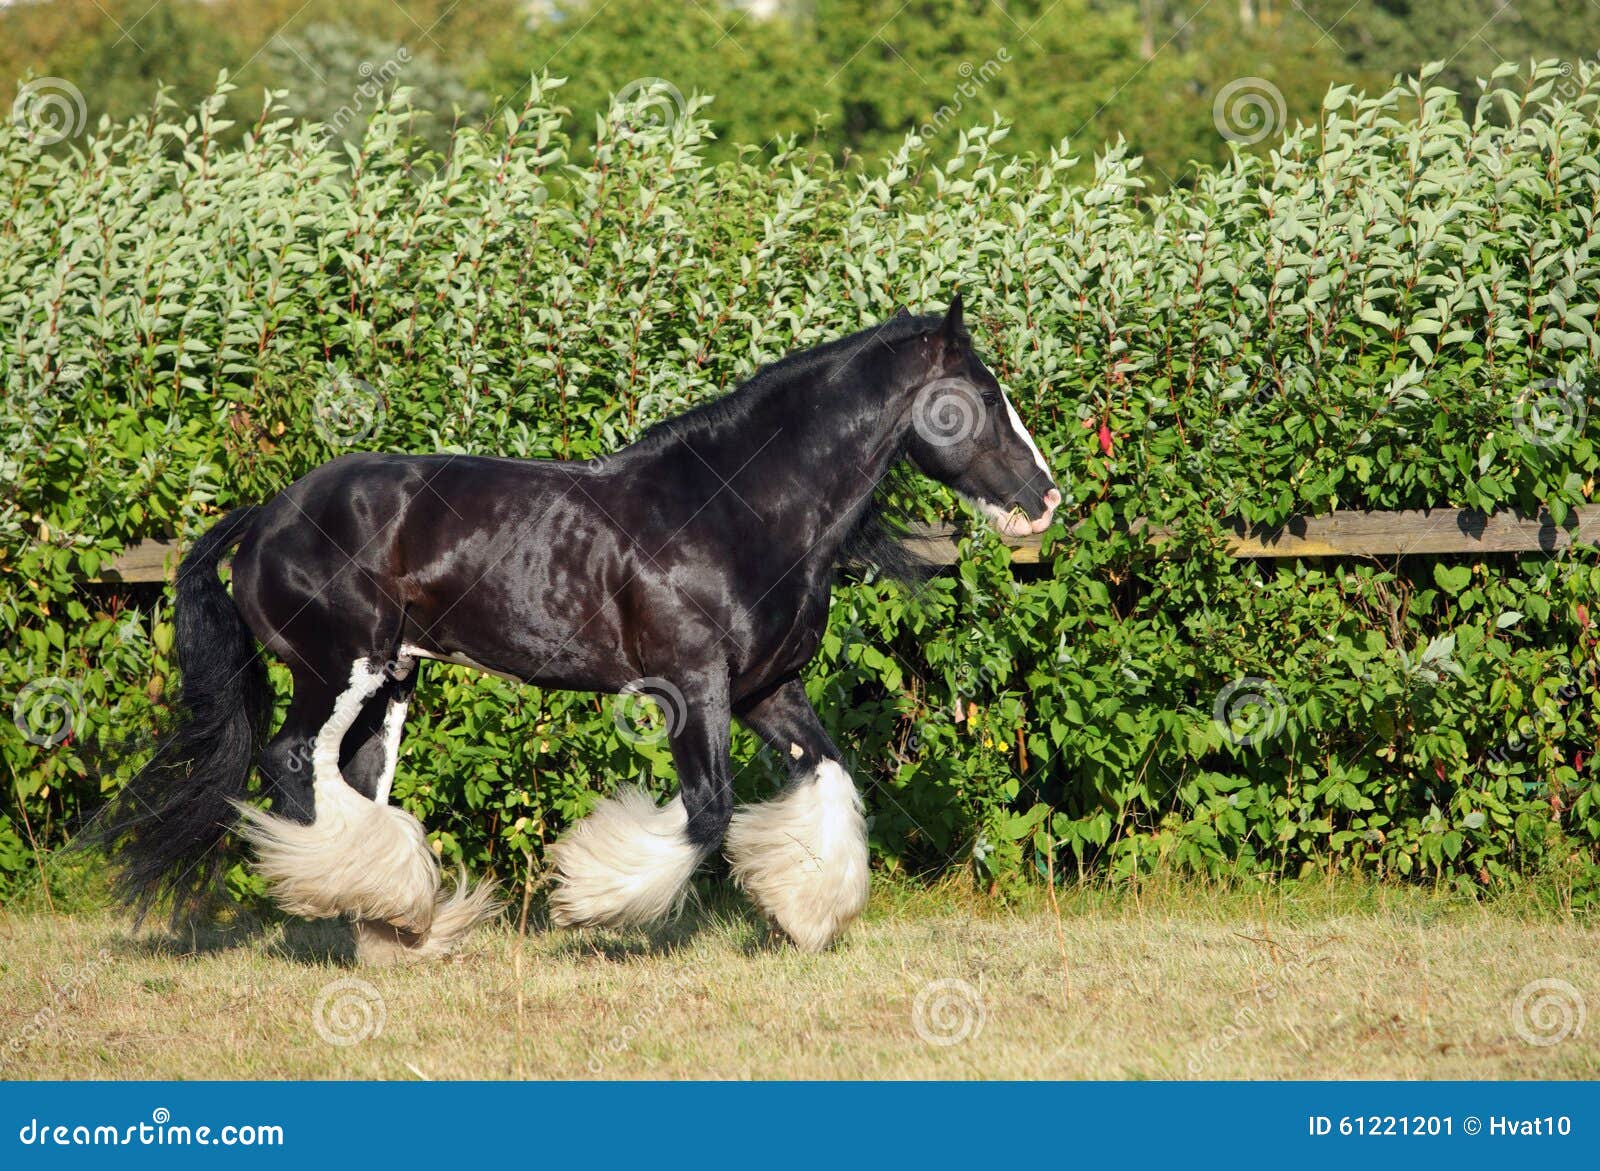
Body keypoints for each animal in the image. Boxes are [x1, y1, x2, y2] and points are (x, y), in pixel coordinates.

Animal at [96, 295, 1060, 962]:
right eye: (979, 395)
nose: (1046, 498)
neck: (735, 510)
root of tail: (266, 517)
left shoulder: (767, 690)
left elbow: (826, 774)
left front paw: (809, 915)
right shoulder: (690, 686)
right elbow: (707, 811)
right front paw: (591, 901)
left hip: (395, 679)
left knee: (354, 780)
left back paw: (401, 921)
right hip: (338, 666)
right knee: (293, 762)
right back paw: (385, 909)